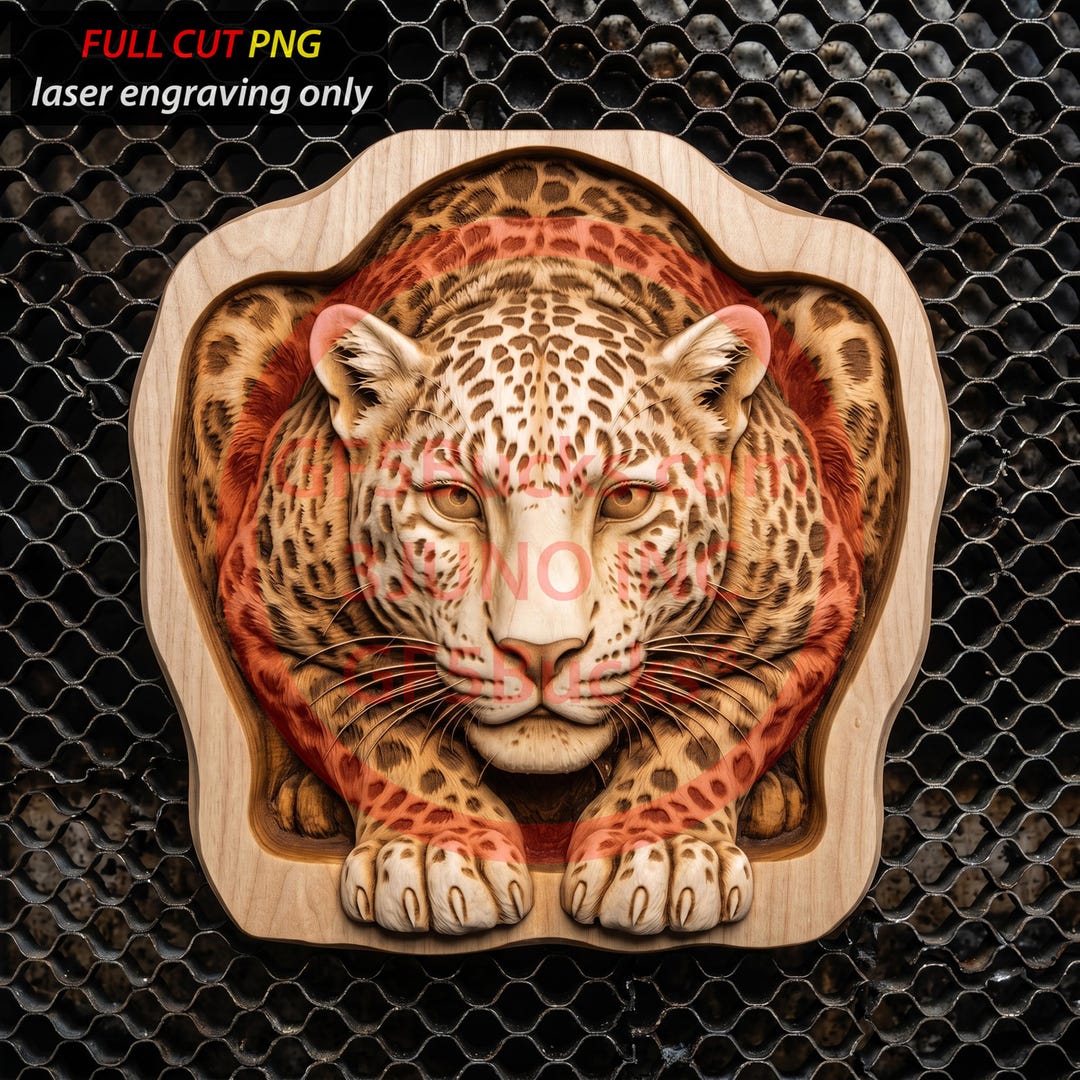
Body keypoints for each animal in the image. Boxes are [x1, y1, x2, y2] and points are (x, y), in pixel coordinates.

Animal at [179, 154, 898, 936]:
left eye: (626, 498)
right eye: (455, 498)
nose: (542, 653)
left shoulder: (819, 614)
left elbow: (709, 735)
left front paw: (660, 848)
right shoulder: (260, 610)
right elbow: (378, 735)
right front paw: (436, 847)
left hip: (839, 321)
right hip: (240, 321)